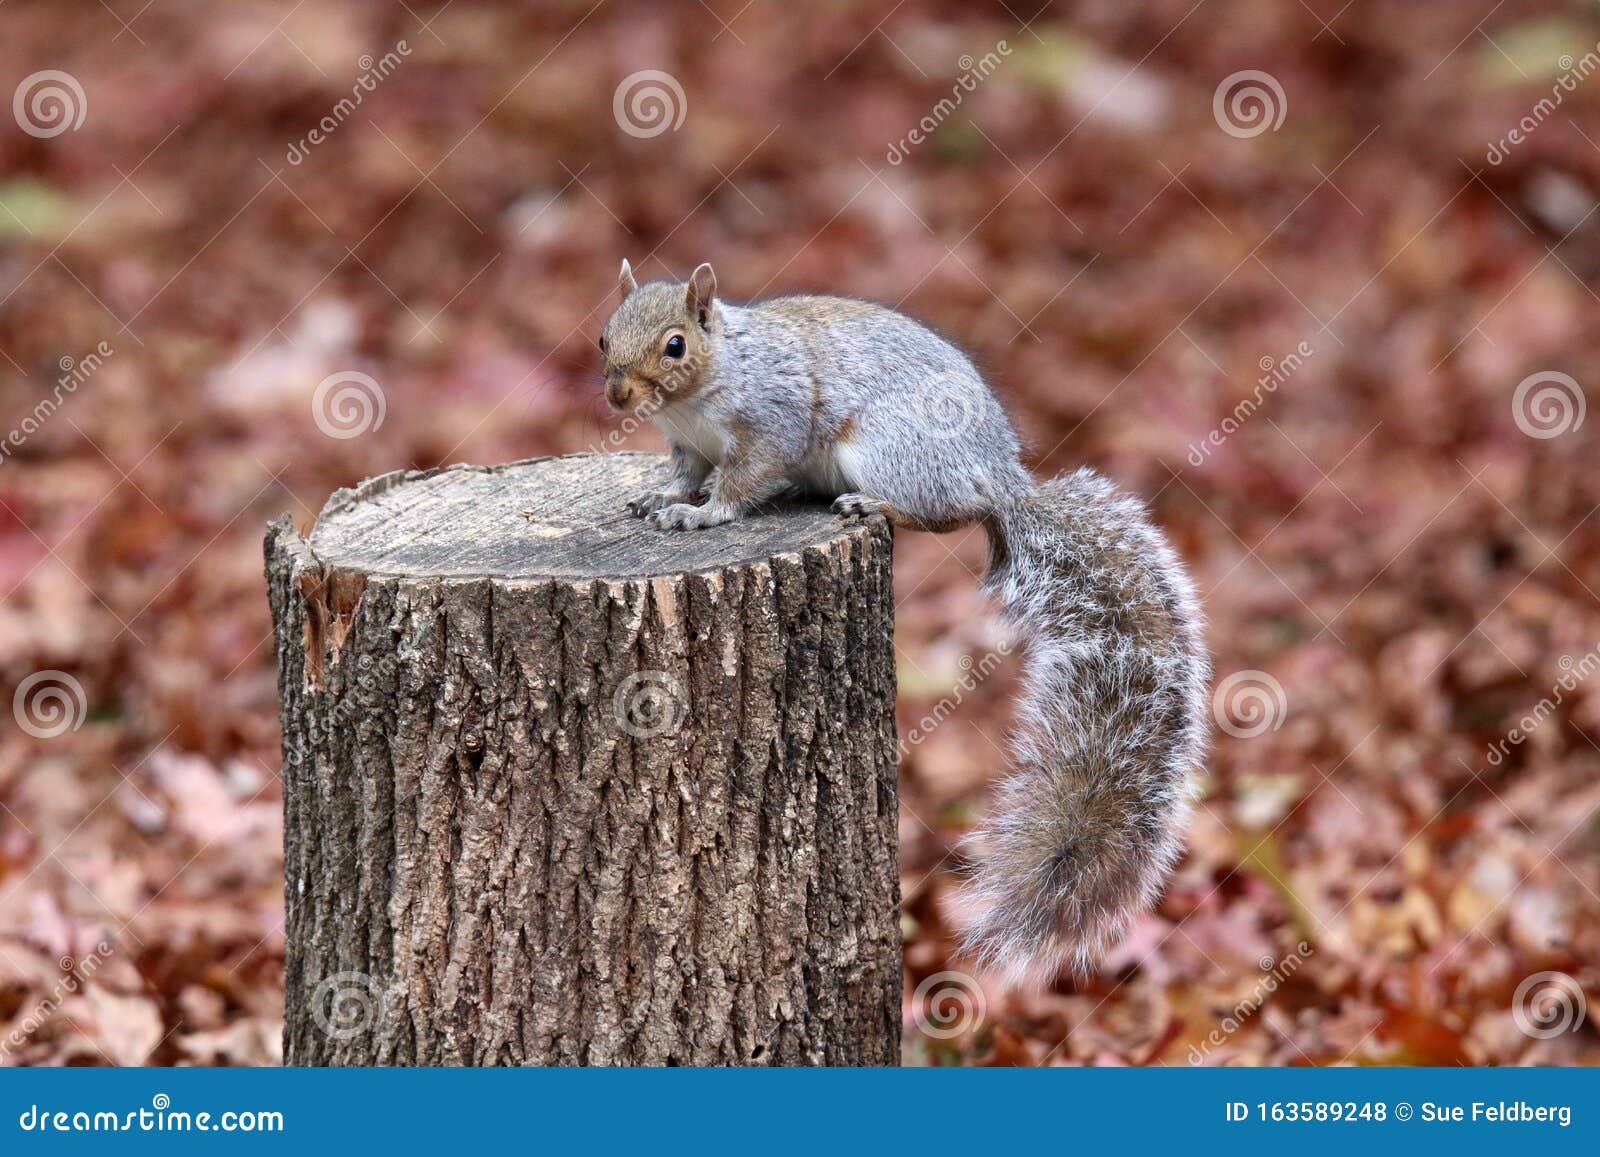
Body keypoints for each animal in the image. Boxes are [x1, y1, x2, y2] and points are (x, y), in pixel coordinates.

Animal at [600, 259, 1211, 983]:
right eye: (603, 335)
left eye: (675, 345)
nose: (616, 396)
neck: (705, 386)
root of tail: (1002, 480)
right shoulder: (686, 445)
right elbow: (685, 472)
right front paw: (663, 497)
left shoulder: (772, 421)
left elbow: (743, 478)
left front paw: (704, 513)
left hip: (891, 450)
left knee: (950, 512)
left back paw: (878, 505)